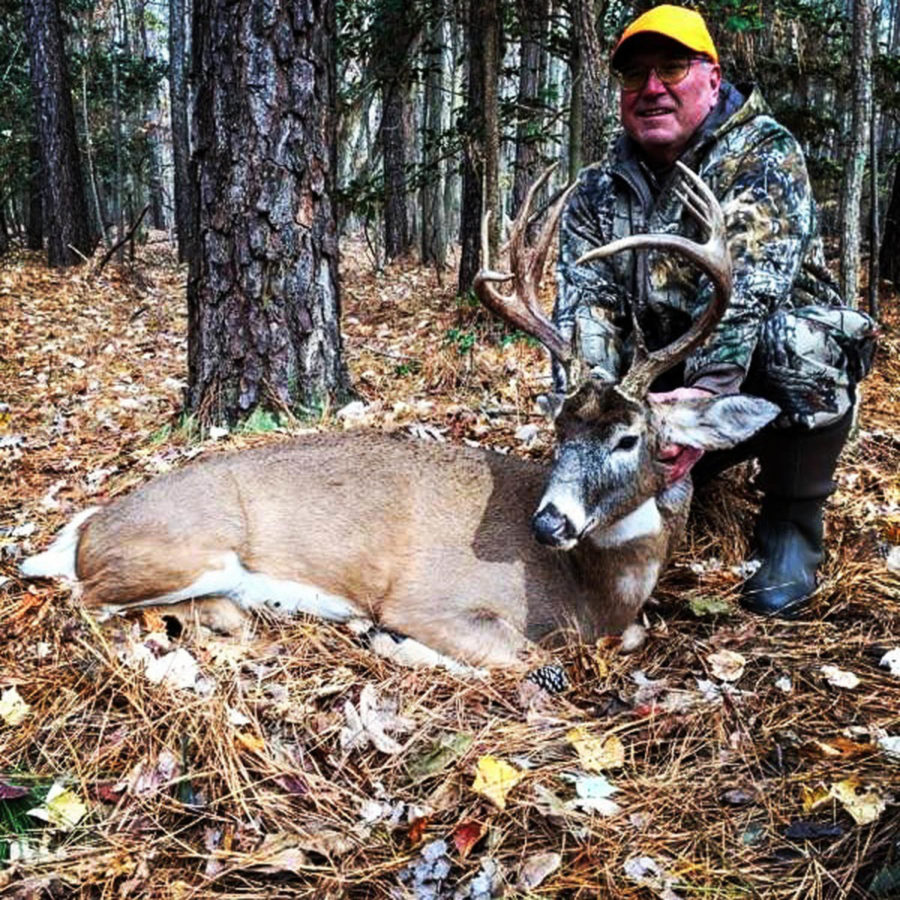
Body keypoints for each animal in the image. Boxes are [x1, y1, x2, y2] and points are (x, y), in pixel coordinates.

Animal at [20, 163, 778, 676]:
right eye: (561, 432)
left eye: (628, 437)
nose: (549, 522)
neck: (588, 593)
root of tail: (85, 528)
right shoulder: (430, 599)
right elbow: (533, 662)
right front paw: (391, 642)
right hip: (180, 548)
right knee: (89, 600)